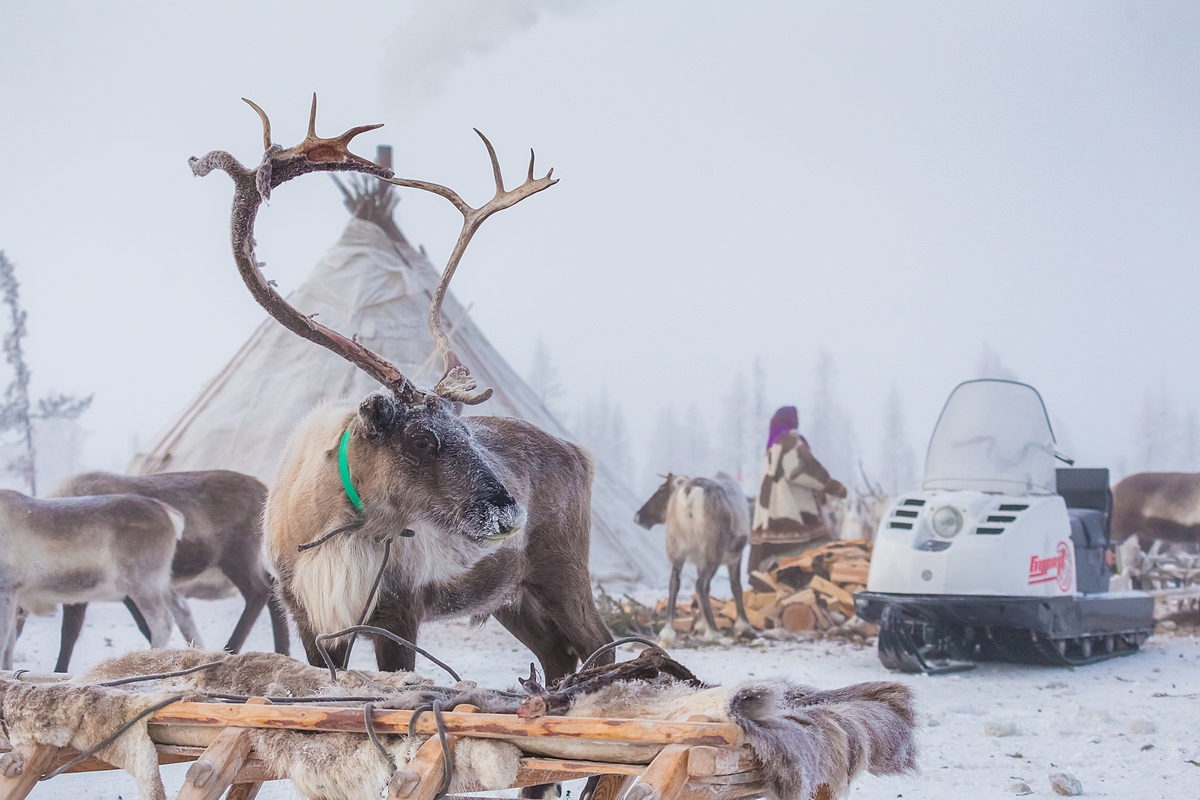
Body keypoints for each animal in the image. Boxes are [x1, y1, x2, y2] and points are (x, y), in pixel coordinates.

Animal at [1, 490, 194, 670]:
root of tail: (169, 514)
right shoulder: (17, 594)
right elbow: (9, 643)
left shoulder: (8, 587)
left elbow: (4, 639)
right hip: (159, 580)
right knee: (182, 609)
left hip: (141, 582)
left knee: (162, 622)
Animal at [45, 469, 290, 671]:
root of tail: (264, 488)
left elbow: (71, 632)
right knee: (272, 586)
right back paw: (282, 651)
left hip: (237, 555)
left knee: (258, 591)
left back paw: (230, 649)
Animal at [189, 96, 613, 682]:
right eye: (420, 439)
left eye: (468, 435)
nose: (509, 514)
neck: (334, 523)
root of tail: (580, 453)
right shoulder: (307, 614)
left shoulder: (398, 610)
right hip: (510, 595)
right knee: (558, 653)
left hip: (563, 572)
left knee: (601, 645)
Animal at [634, 472, 752, 648]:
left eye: (662, 491)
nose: (638, 517)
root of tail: (689, 491)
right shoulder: (735, 557)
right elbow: (736, 586)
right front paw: (744, 624)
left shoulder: (699, 561)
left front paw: (701, 624)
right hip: (712, 552)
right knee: (701, 585)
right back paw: (715, 633)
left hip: (676, 548)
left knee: (675, 583)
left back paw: (668, 633)